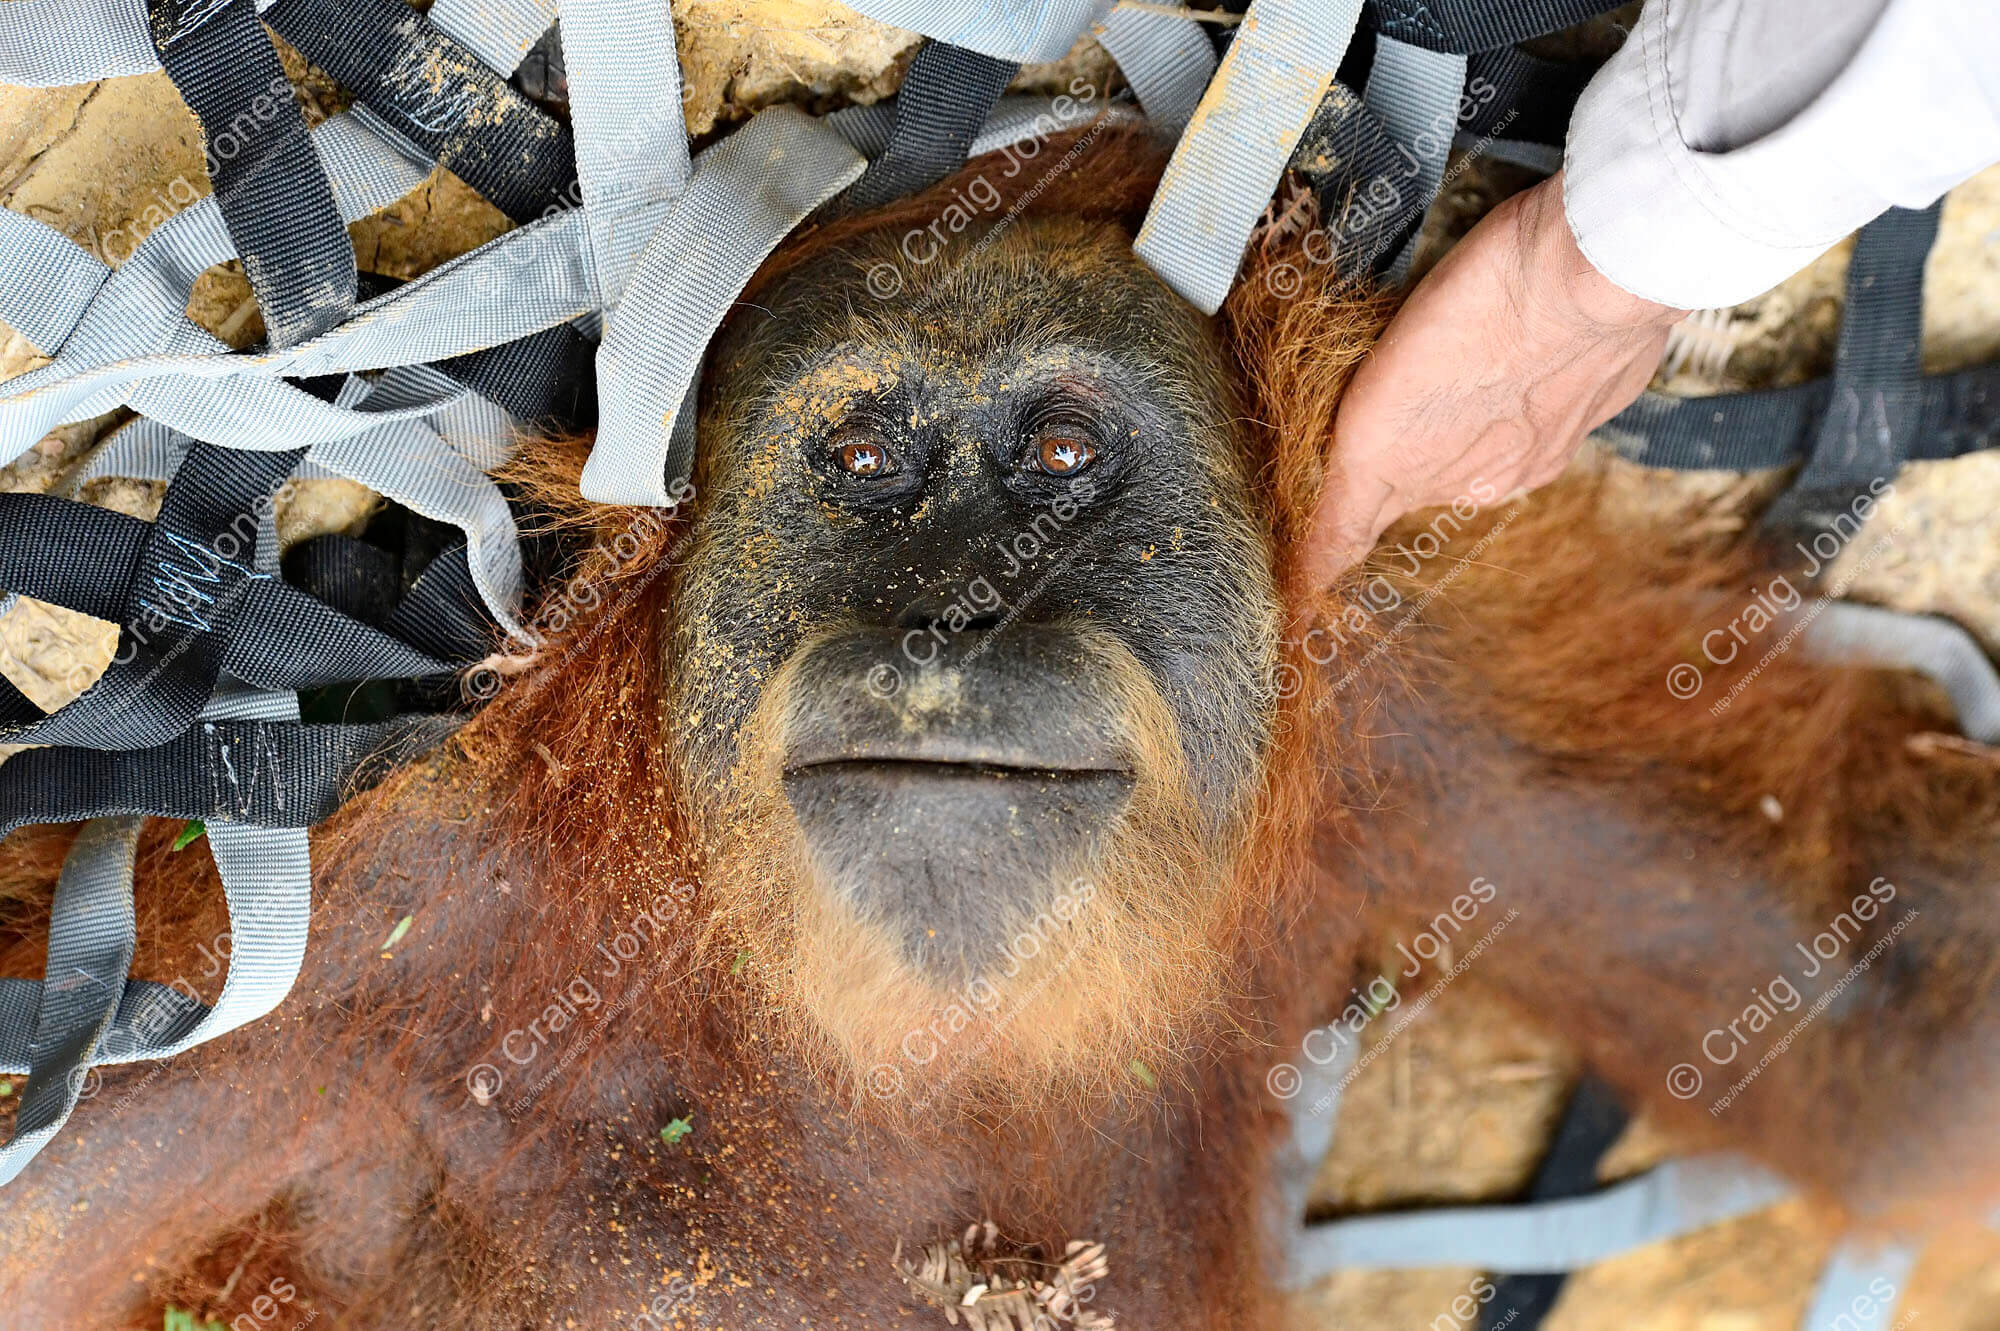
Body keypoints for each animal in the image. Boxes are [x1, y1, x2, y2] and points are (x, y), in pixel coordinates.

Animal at [0, 121, 1993, 1329]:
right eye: (866, 462)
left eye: (1056, 453)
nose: (951, 612)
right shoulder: (355, 948)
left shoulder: (1415, 730)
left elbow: (1898, 1011)